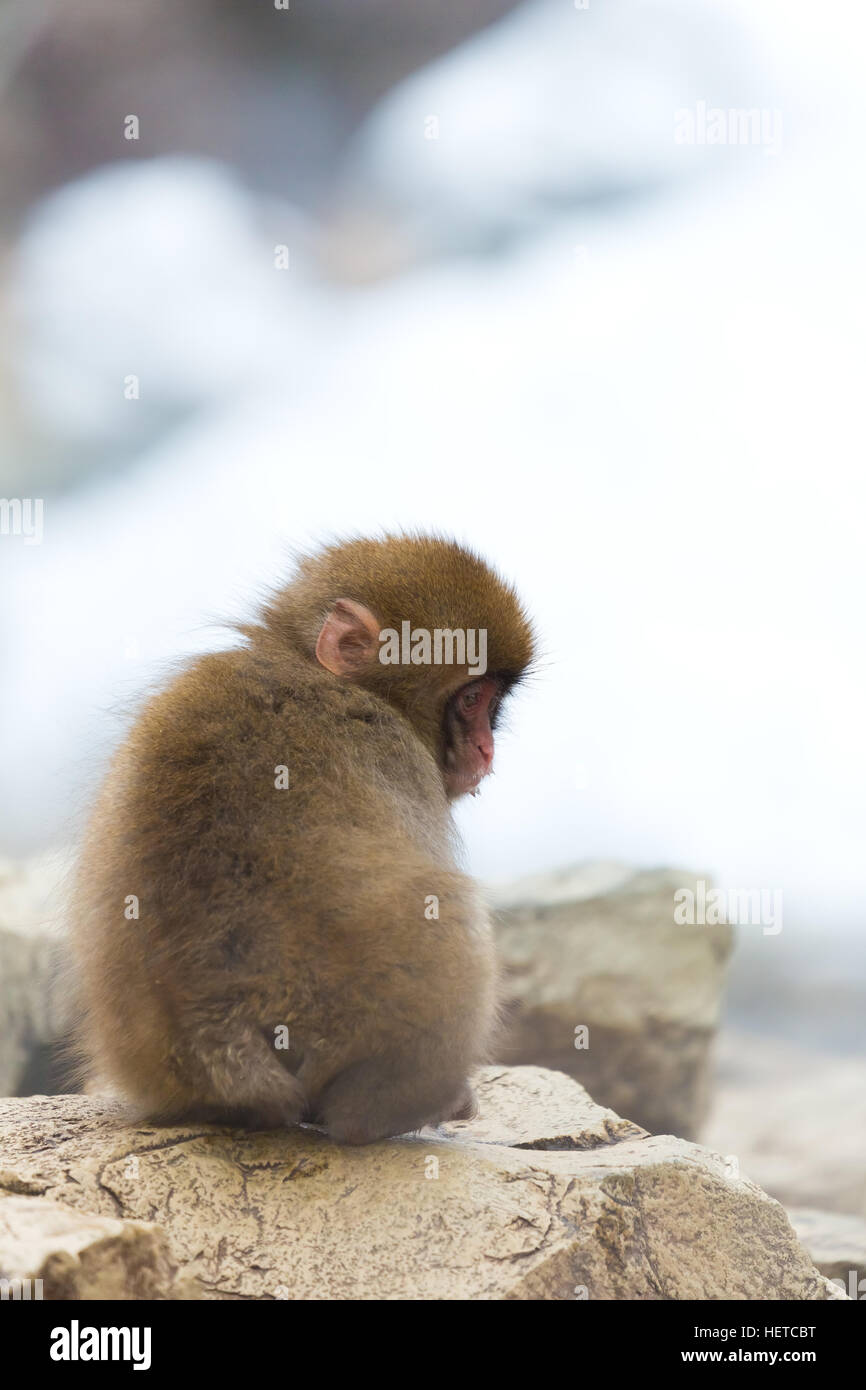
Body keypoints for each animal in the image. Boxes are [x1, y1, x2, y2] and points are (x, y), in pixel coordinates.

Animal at [68, 534, 535, 1144]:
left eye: (491, 701)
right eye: (474, 699)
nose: (486, 750)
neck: (304, 664)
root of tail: (214, 1037)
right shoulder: (397, 754)